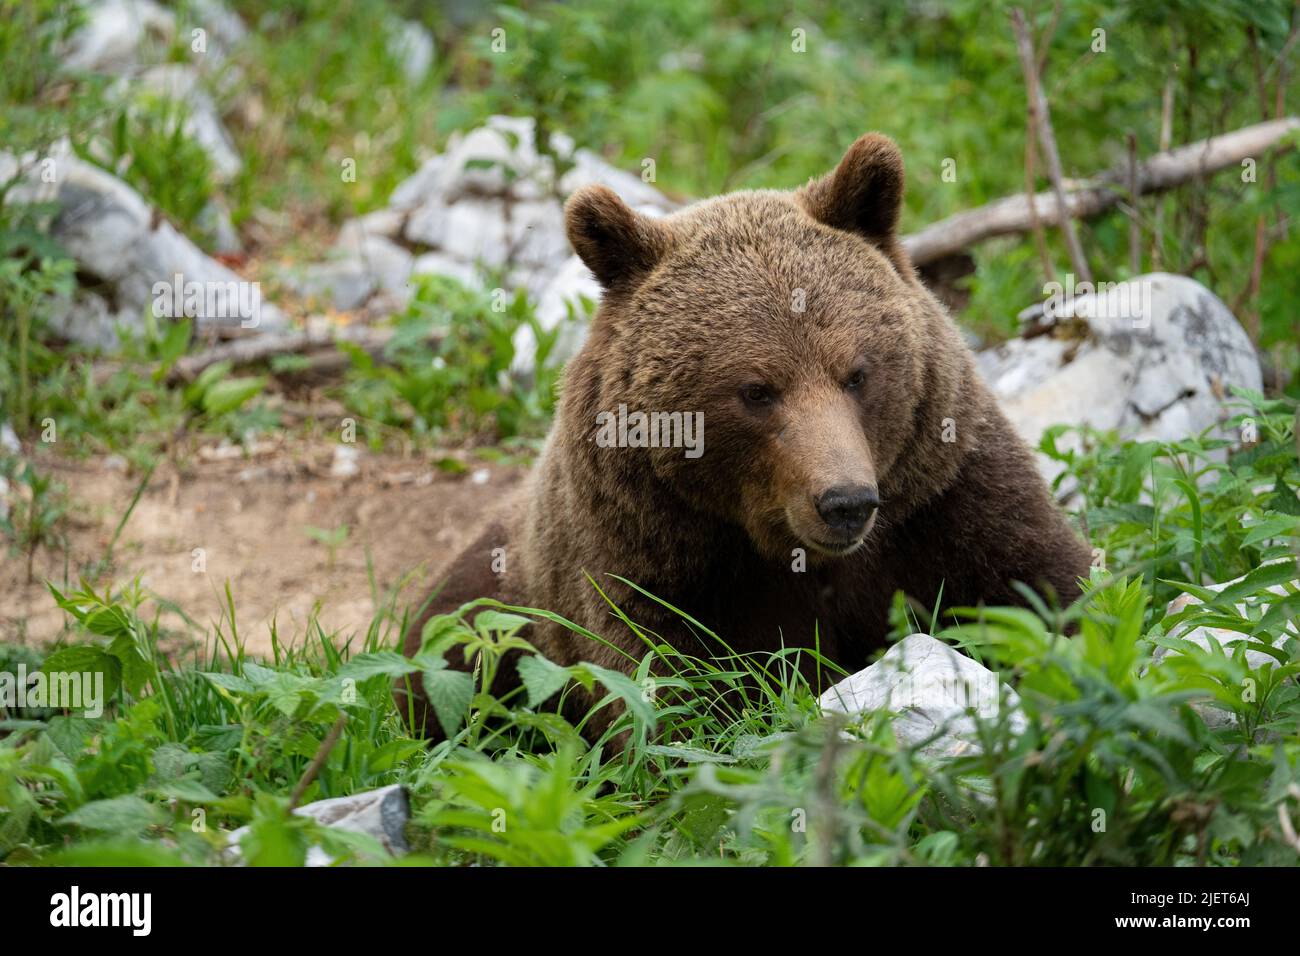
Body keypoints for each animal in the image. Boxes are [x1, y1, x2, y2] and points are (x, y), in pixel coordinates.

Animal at [396, 132, 1092, 742]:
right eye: (758, 390)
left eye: (857, 373)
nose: (845, 502)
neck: (776, 545)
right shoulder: (646, 559)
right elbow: (665, 693)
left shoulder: (943, 497)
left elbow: (1043, 586)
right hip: (479, 625)